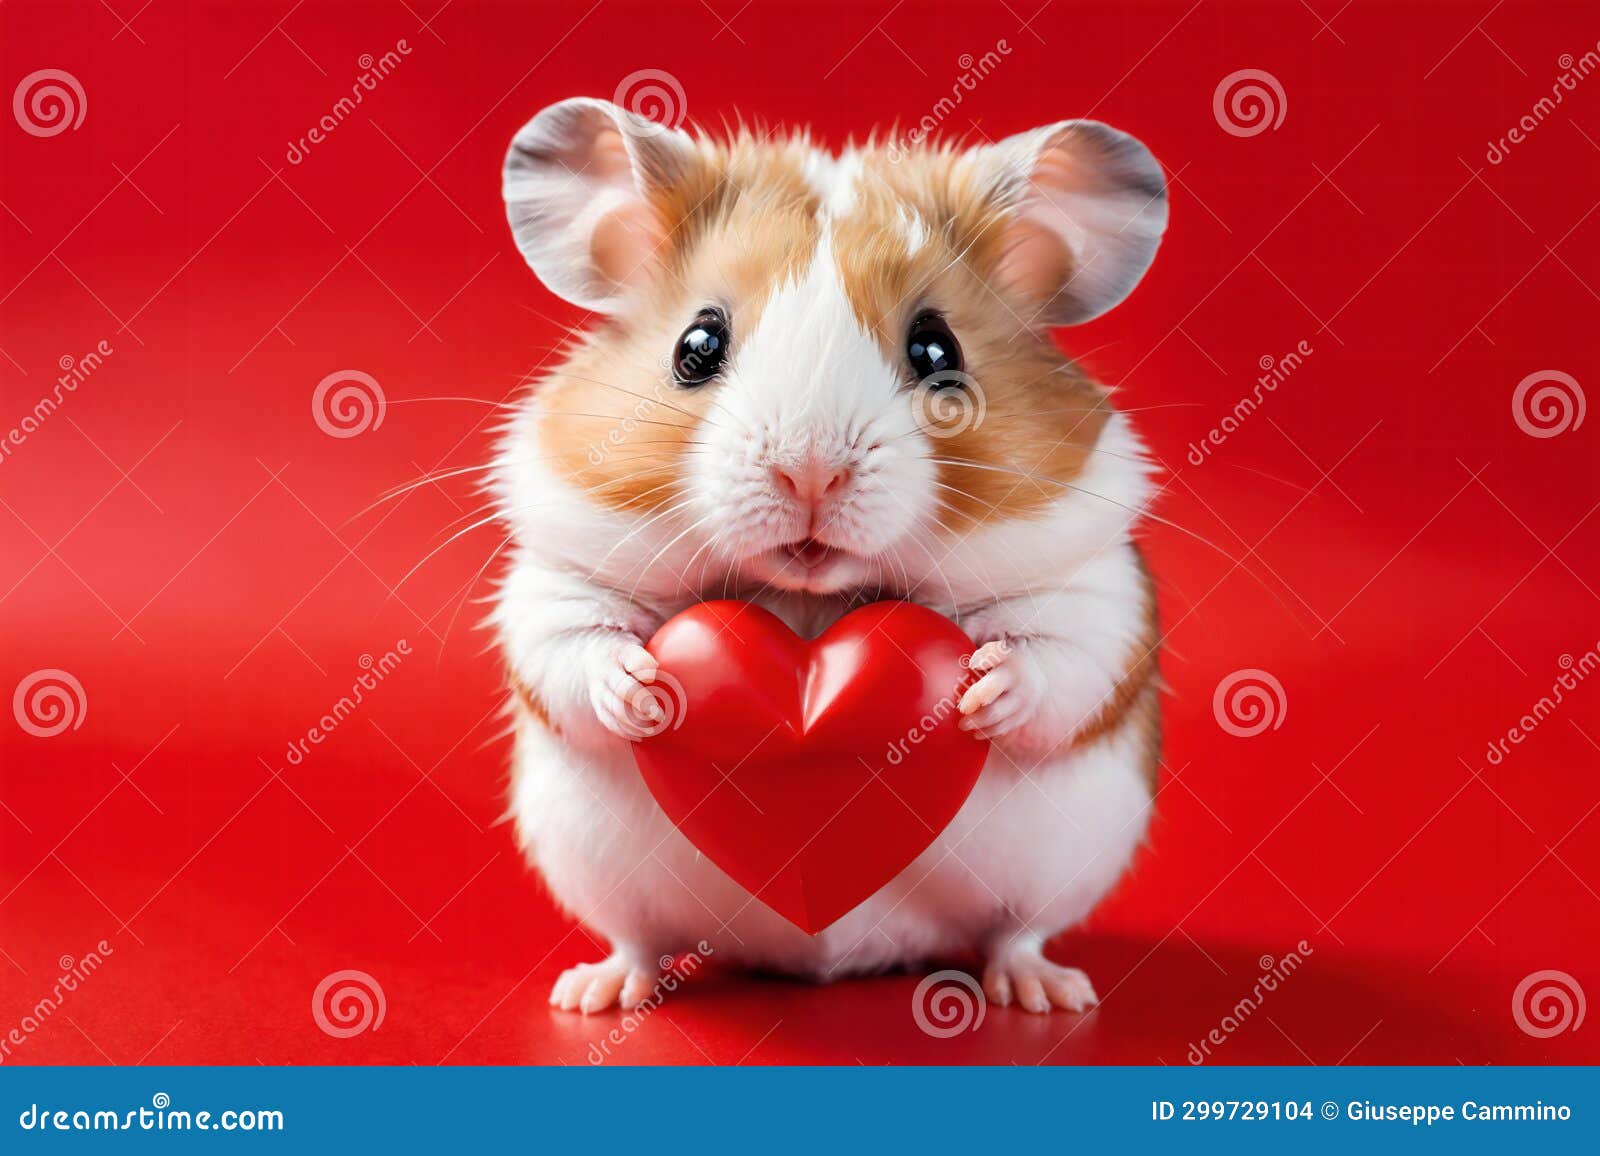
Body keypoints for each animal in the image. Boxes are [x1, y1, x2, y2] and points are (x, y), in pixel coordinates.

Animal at [489, 97, 1166, 1015]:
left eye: (938, 351)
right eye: (696, 346)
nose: (810, 472)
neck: (811, 596)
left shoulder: (1100, 593)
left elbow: (1060, 660)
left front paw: (980, 691)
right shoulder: (556, 574)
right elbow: (572, 644)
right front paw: (645, 688)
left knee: (1014, 934)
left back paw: (1049, 995)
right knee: (637, 940)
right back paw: (593, 994)